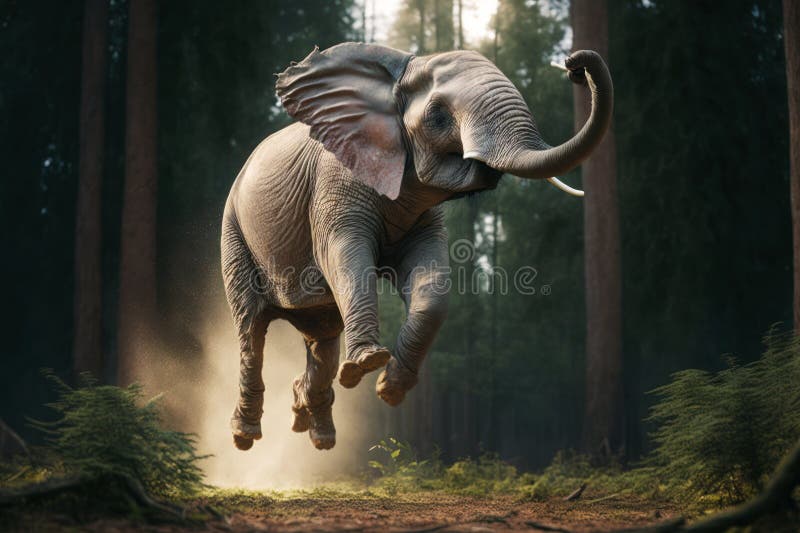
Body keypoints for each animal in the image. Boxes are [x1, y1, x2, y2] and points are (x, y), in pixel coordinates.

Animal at [221, 42, 613, 451]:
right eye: (438, 117)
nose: (574, 64)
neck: (398, 73)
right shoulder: (335, 182)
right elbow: (344, 255)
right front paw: (367, 363)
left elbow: (432, 280)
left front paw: (387, 387)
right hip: (233, 231)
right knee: (252, 331)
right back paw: (246, 436)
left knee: (322, 337)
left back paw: (314, 428)